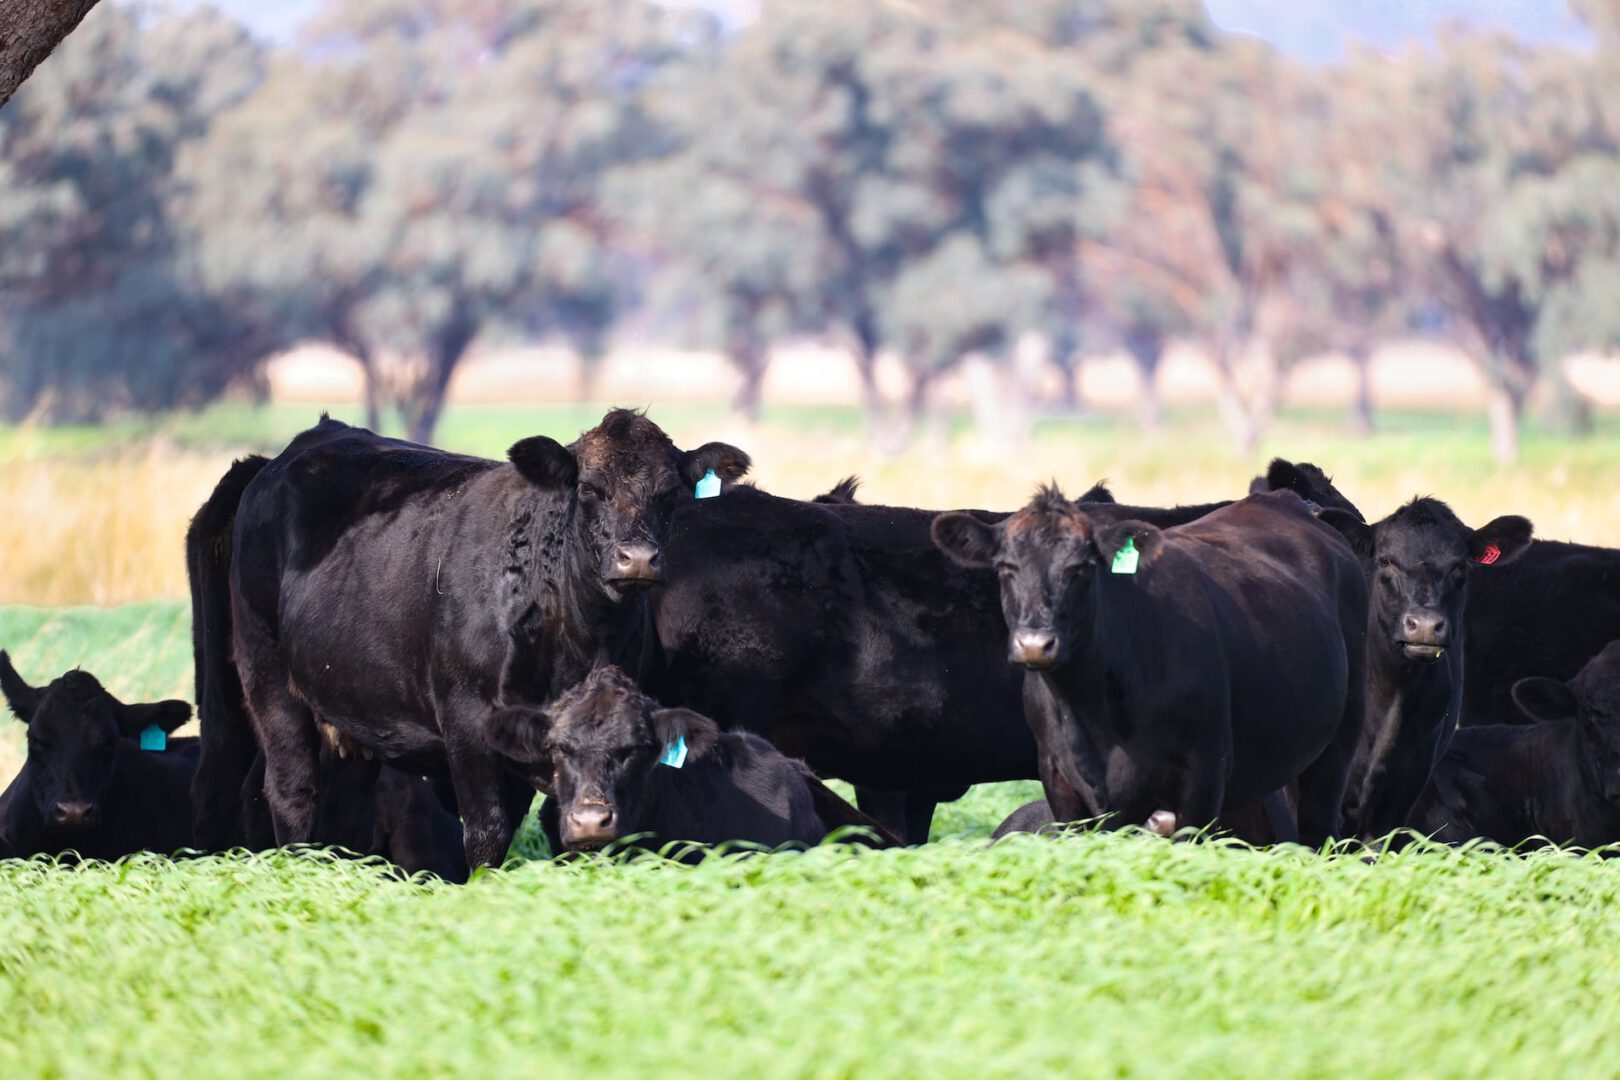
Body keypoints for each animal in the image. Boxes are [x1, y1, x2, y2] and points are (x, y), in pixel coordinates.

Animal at [188, 410, 751, 871]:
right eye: (590, 489)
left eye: (670, 494)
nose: (637, 559)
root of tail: (286, 455)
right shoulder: (467, 719)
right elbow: (486, 832)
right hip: (265, 678)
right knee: (286, 789)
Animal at [931, 487, 1366, 846]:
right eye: (1006, 567)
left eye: (1081, 568)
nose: (1035, 644)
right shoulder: (1059, 782)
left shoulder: (1203, 775)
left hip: (1336, 749)